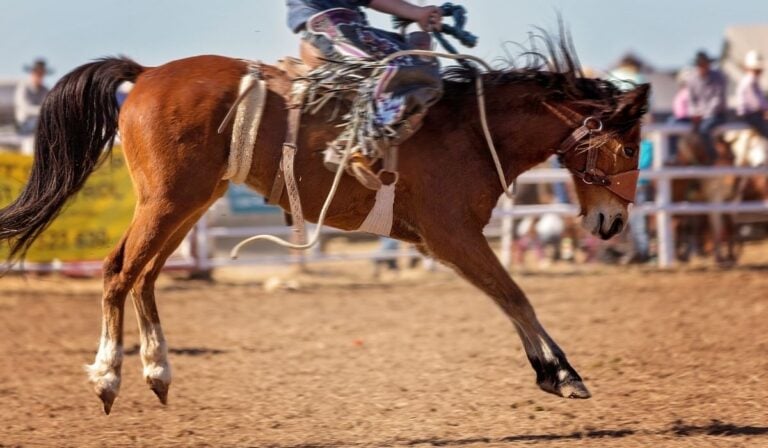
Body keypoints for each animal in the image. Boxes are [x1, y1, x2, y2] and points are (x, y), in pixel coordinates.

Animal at [0, 37, 649, 414]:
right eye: (628, 146)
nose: (612, 221)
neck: (467, 129)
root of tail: (150, 71)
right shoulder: (452, 235)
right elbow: (514, 295)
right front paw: (561, 373)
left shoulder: (452, 240)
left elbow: (509, 298)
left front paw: (552, 371)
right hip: (166, 201)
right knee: (118, 271)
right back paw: (109, 377)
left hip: (189, 203)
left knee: (146, 276)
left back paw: (158, 370)